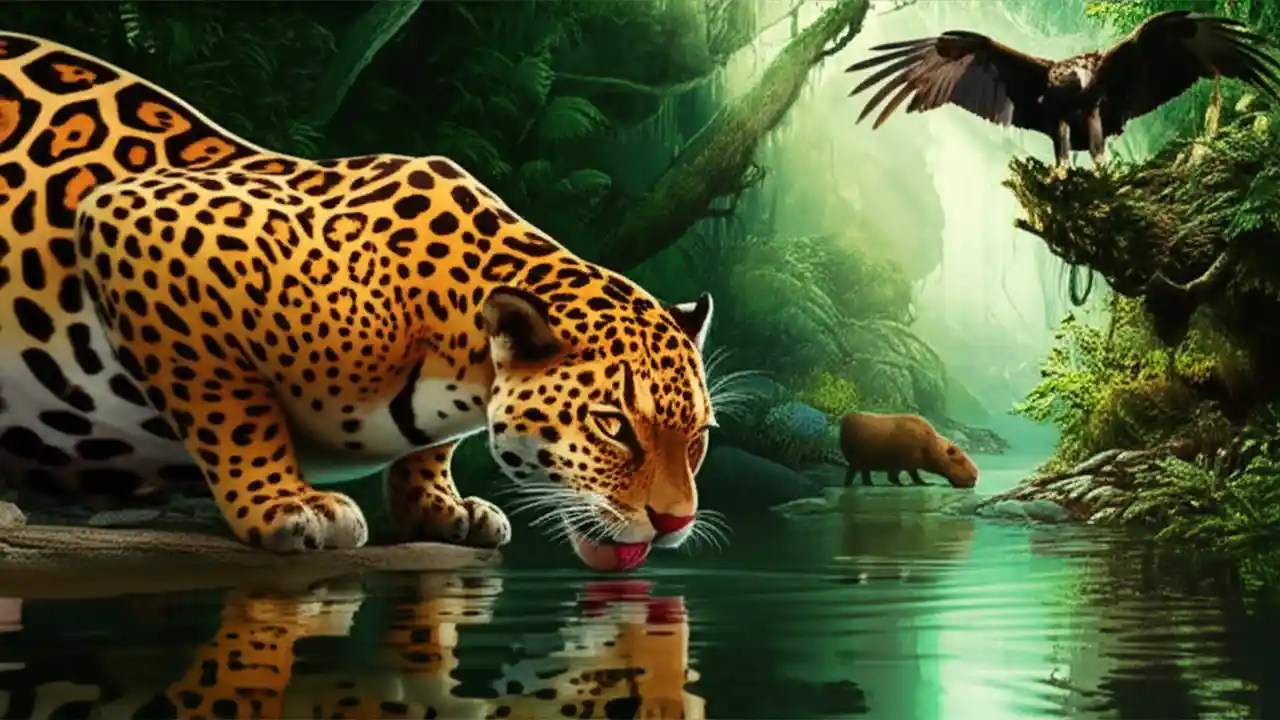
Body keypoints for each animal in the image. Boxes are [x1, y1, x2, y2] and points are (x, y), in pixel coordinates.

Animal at [0, 31, 718, 570]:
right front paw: (286, 504)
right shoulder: (134, 221)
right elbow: (232, 410)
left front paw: (441, 508)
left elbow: (430, 452)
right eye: (612, 426)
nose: (675, 521)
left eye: (698, 438)